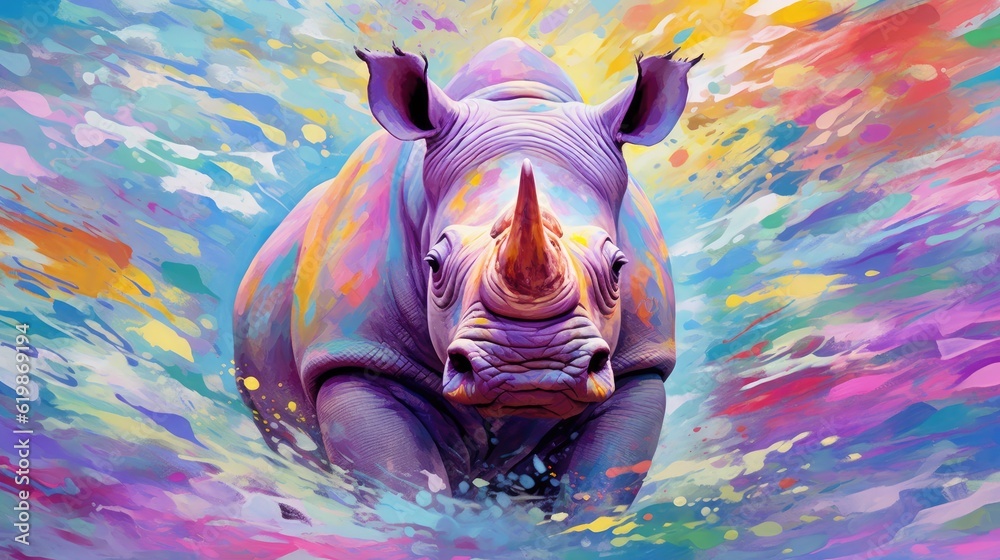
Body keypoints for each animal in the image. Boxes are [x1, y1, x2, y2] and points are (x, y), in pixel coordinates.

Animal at [234, 38, 696, 516]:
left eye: (618, 266)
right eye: (434, 264)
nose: (532, 368)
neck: (518, 103)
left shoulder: (640, 365)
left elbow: (601, 489)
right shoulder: (354, 355)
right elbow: (399, 484)